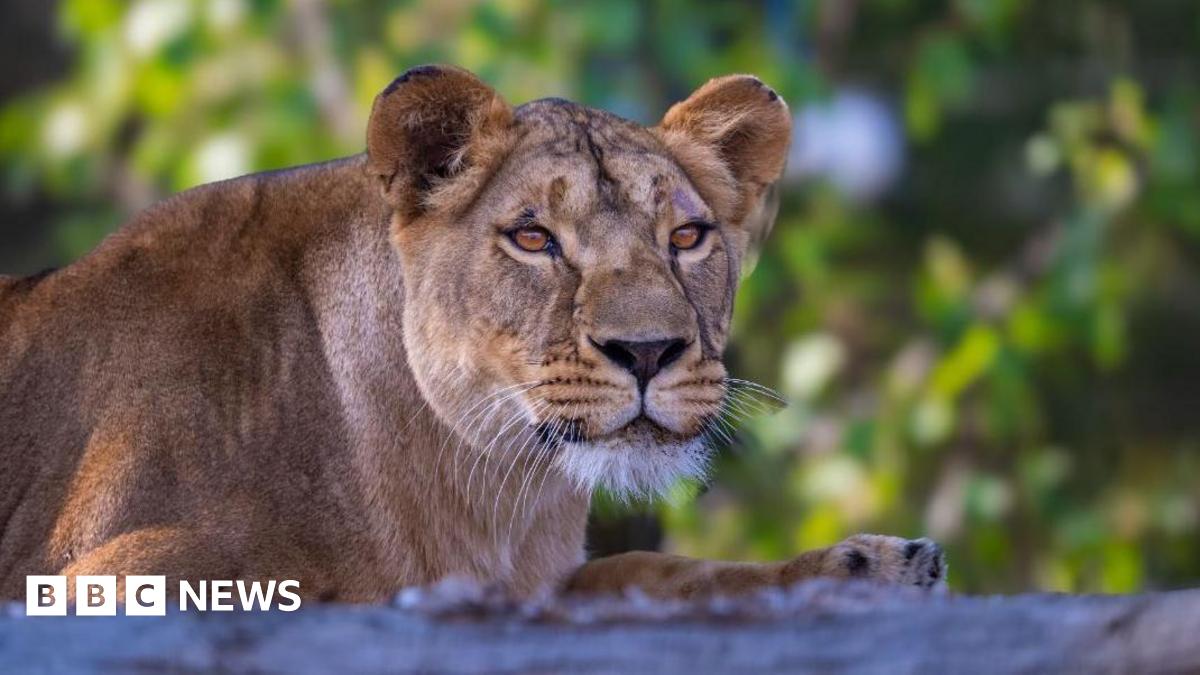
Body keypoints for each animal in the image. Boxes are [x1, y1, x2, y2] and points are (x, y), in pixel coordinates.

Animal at [0, 65, 945, 603]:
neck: (491, 485)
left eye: (686, 237)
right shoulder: (99, 580)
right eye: (532, 237)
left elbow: (668, 572)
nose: (647, 351)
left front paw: (871, 565)